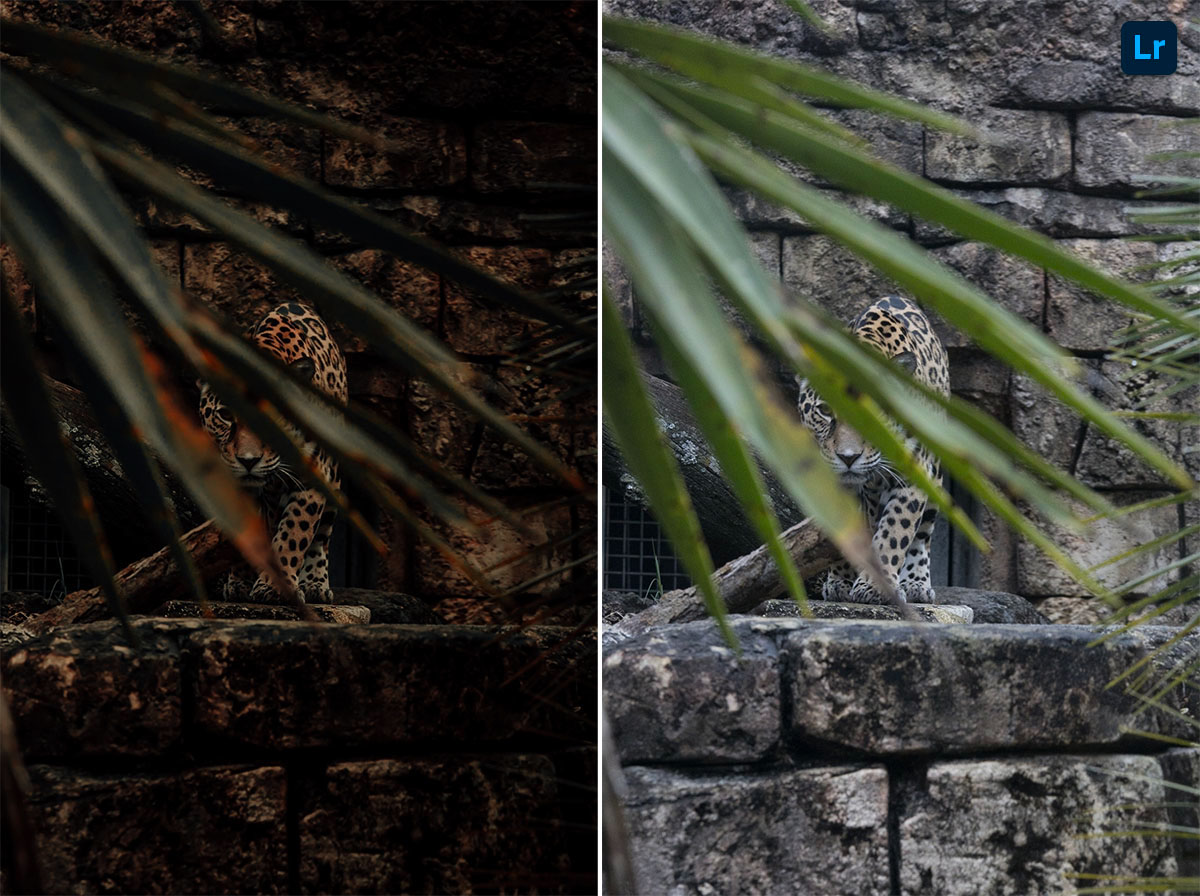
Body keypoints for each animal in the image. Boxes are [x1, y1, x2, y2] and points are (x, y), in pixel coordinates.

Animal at [198, 302, 348, 604]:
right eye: (225, 414)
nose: (248, 461)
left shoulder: (311, 479)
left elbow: (292, 534)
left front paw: (274, 587)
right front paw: (243, 581)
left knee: (322, 534)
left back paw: (314, 583)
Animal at [796, 295, 950, 605]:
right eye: (825, 410)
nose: (848, 457)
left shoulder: (913, 474)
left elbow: (893, 532)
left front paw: (873, 587)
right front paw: (843, 580)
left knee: (923, 532)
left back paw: (915, 582)